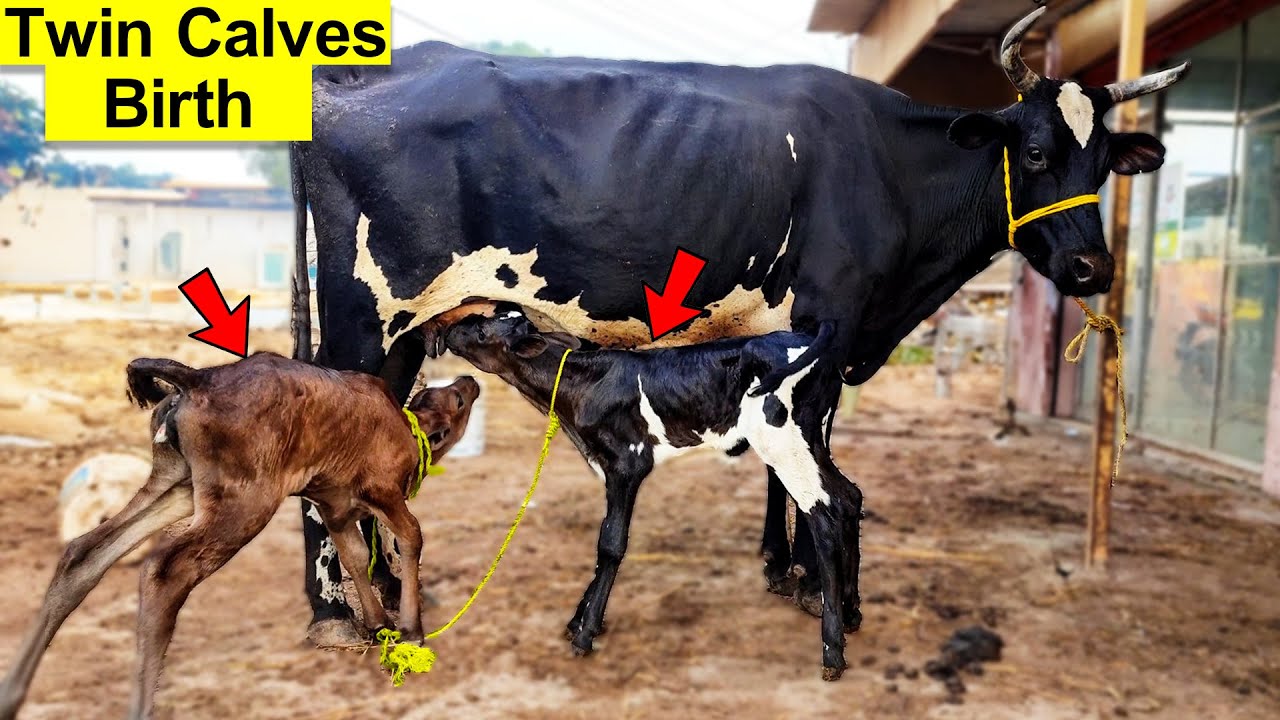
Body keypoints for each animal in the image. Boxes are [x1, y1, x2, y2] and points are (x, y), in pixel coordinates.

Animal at [289, 7, 1187, 643]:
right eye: (1034, 153)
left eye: (1105, 162)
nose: (1091, 269)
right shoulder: (830, 322)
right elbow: (810, 455)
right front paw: (806, 577)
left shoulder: (785, 336)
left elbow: (782, 460)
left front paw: (778, 565)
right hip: (370, 319)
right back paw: (338, 612)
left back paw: (379, 589)